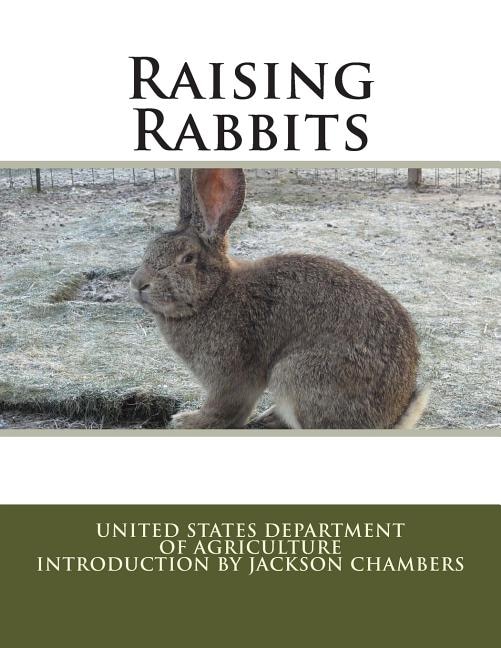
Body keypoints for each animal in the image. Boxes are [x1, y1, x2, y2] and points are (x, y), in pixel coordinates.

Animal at [130, 168, 429, 429]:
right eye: (149, 249)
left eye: (187, 259)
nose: (137, 284)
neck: (213, 294)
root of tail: (389, 419)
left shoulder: (230, 377)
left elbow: (225, 409)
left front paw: (187, 421)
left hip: (295, 374)